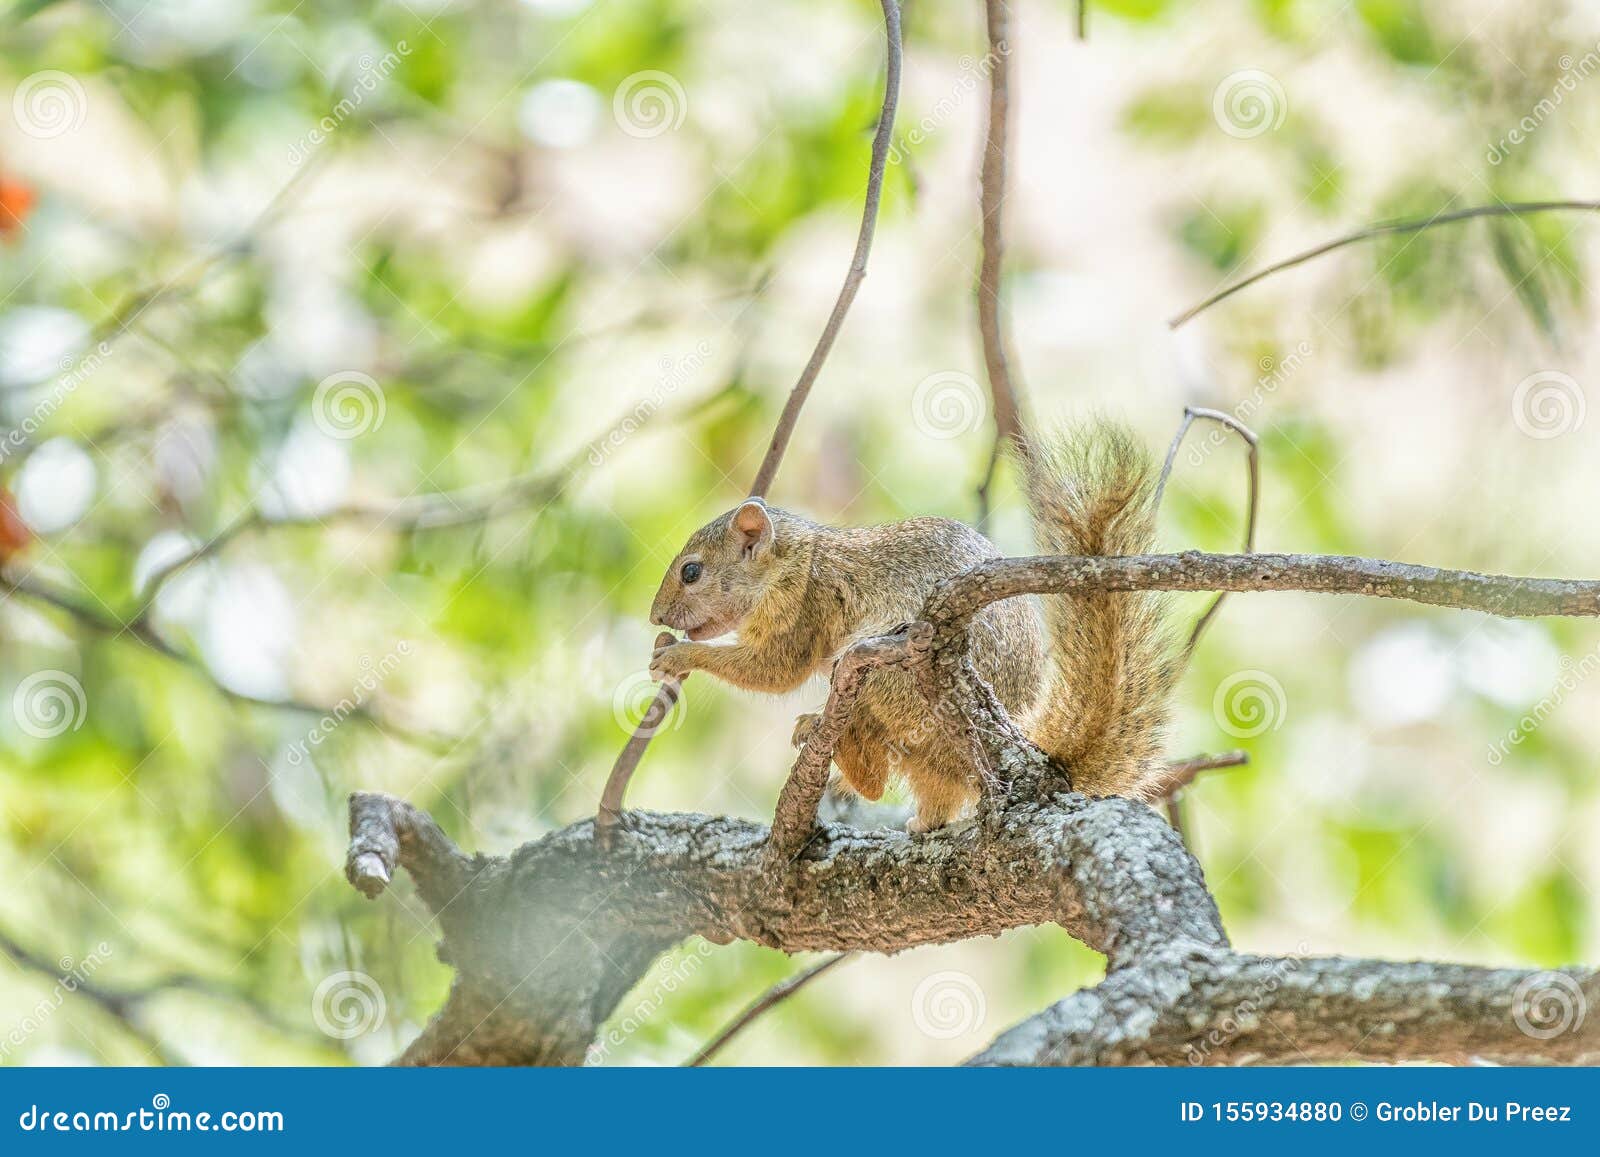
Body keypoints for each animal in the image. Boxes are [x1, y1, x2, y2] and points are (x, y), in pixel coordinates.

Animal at [647, 423, 1176, 833]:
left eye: (691, 572)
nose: (655, 617)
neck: (792, 559)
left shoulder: (801, 605)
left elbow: (772, 670)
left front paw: (676, 655)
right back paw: (916, 818)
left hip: (890, 678)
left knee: (875, 776)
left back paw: (821, 732)